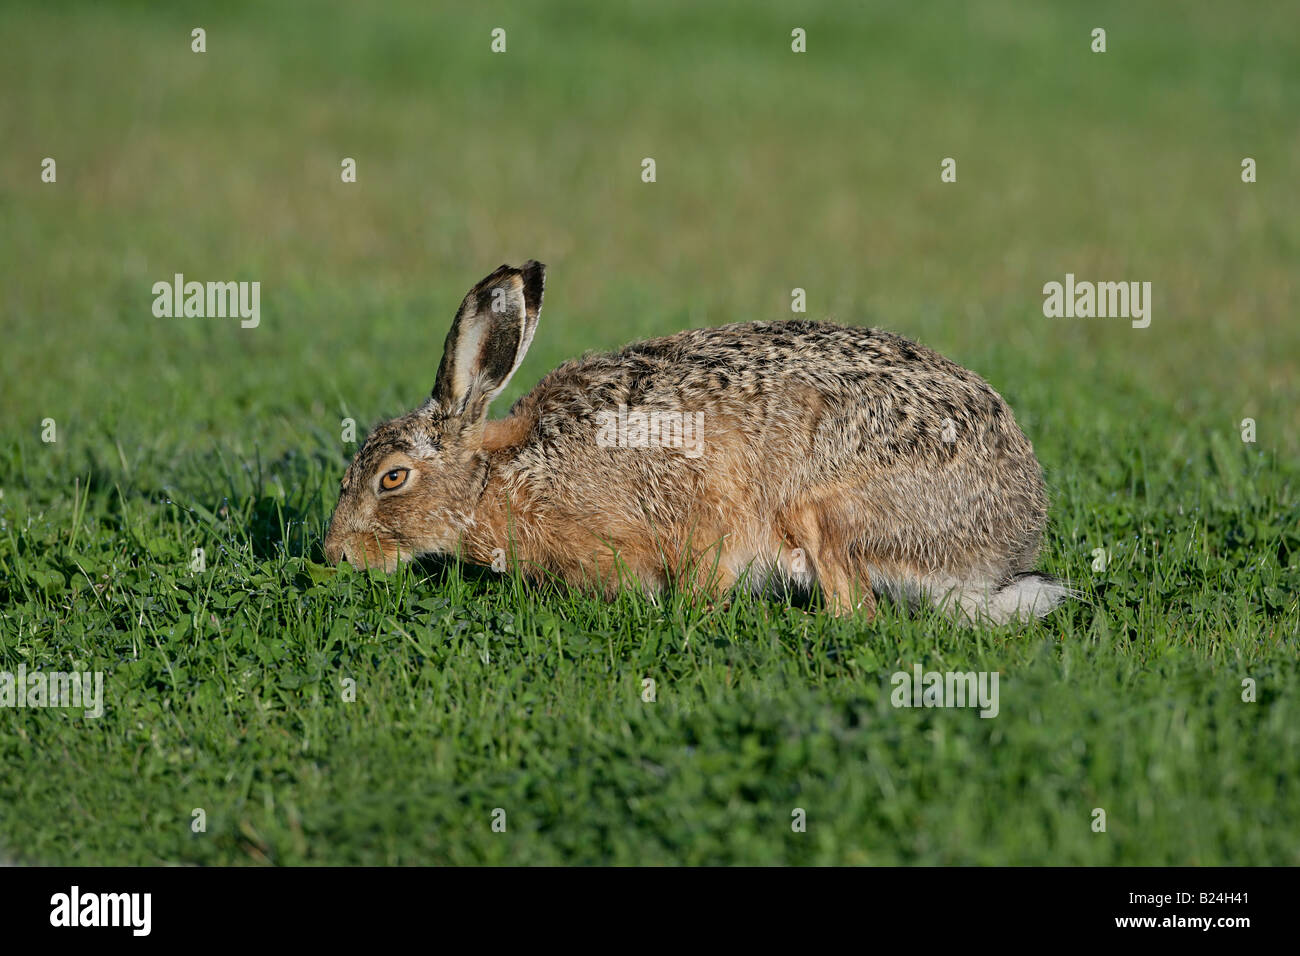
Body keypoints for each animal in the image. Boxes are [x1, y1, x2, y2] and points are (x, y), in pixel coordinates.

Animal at [324, 260, 1070, 625]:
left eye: (393, 477)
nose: (334, 554)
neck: (501, 474)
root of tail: (1002, 548)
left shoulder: (698, 514)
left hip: (825, 510)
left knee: (855, 614)